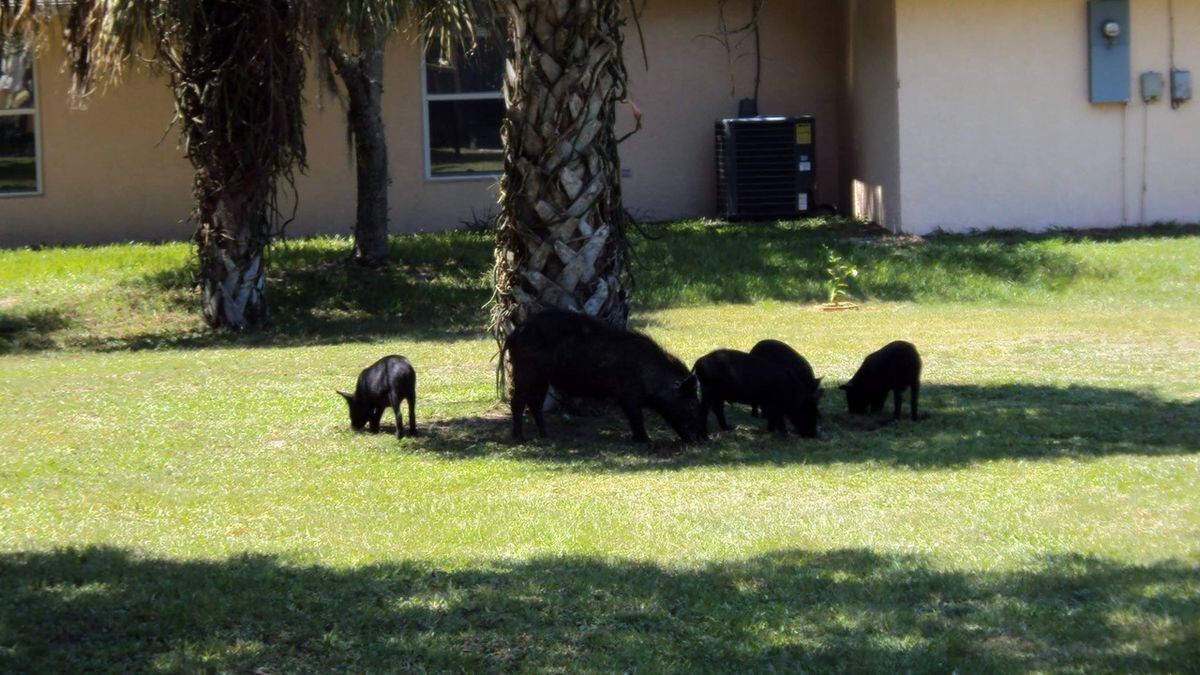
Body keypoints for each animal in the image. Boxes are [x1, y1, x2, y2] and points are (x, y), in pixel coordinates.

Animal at [501, 310, 703, 444]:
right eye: (692, 403)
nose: (700, 440)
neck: (651, 374)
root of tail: (514, 333)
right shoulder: (629, 395)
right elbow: (637, 417)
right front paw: (646, 441)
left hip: (542, 378)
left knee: (535, 404)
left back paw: (546, 436)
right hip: (525, 371)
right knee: (517, 401)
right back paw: (520, 438)